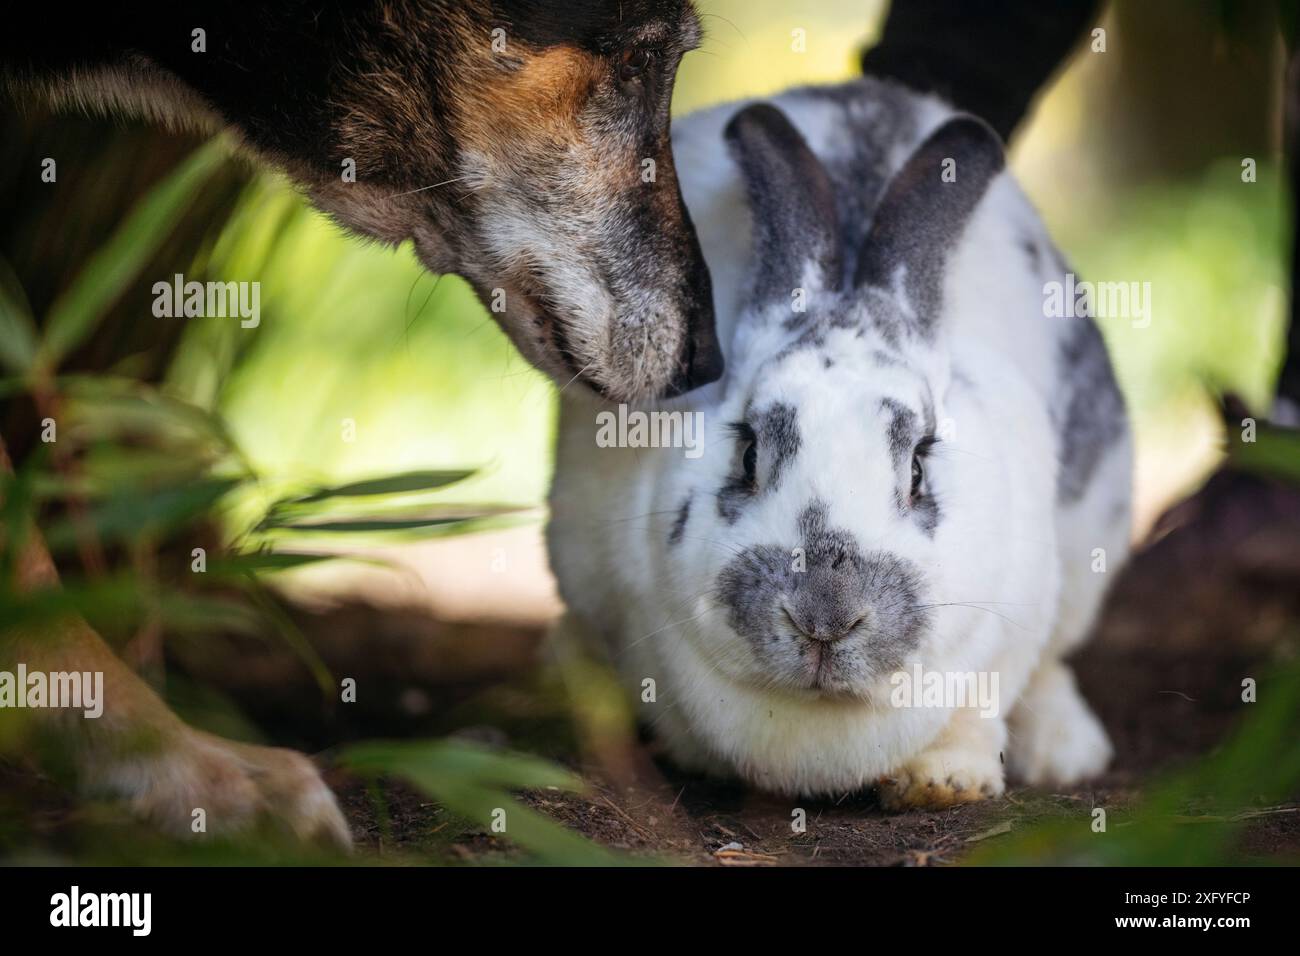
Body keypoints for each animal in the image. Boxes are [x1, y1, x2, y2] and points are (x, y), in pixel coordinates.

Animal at [547, 77, 1132, 808]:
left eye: (918, 467)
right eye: (748, 453)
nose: (824, 618)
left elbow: (979, 710)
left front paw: (944, 783)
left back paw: (1064, 749)